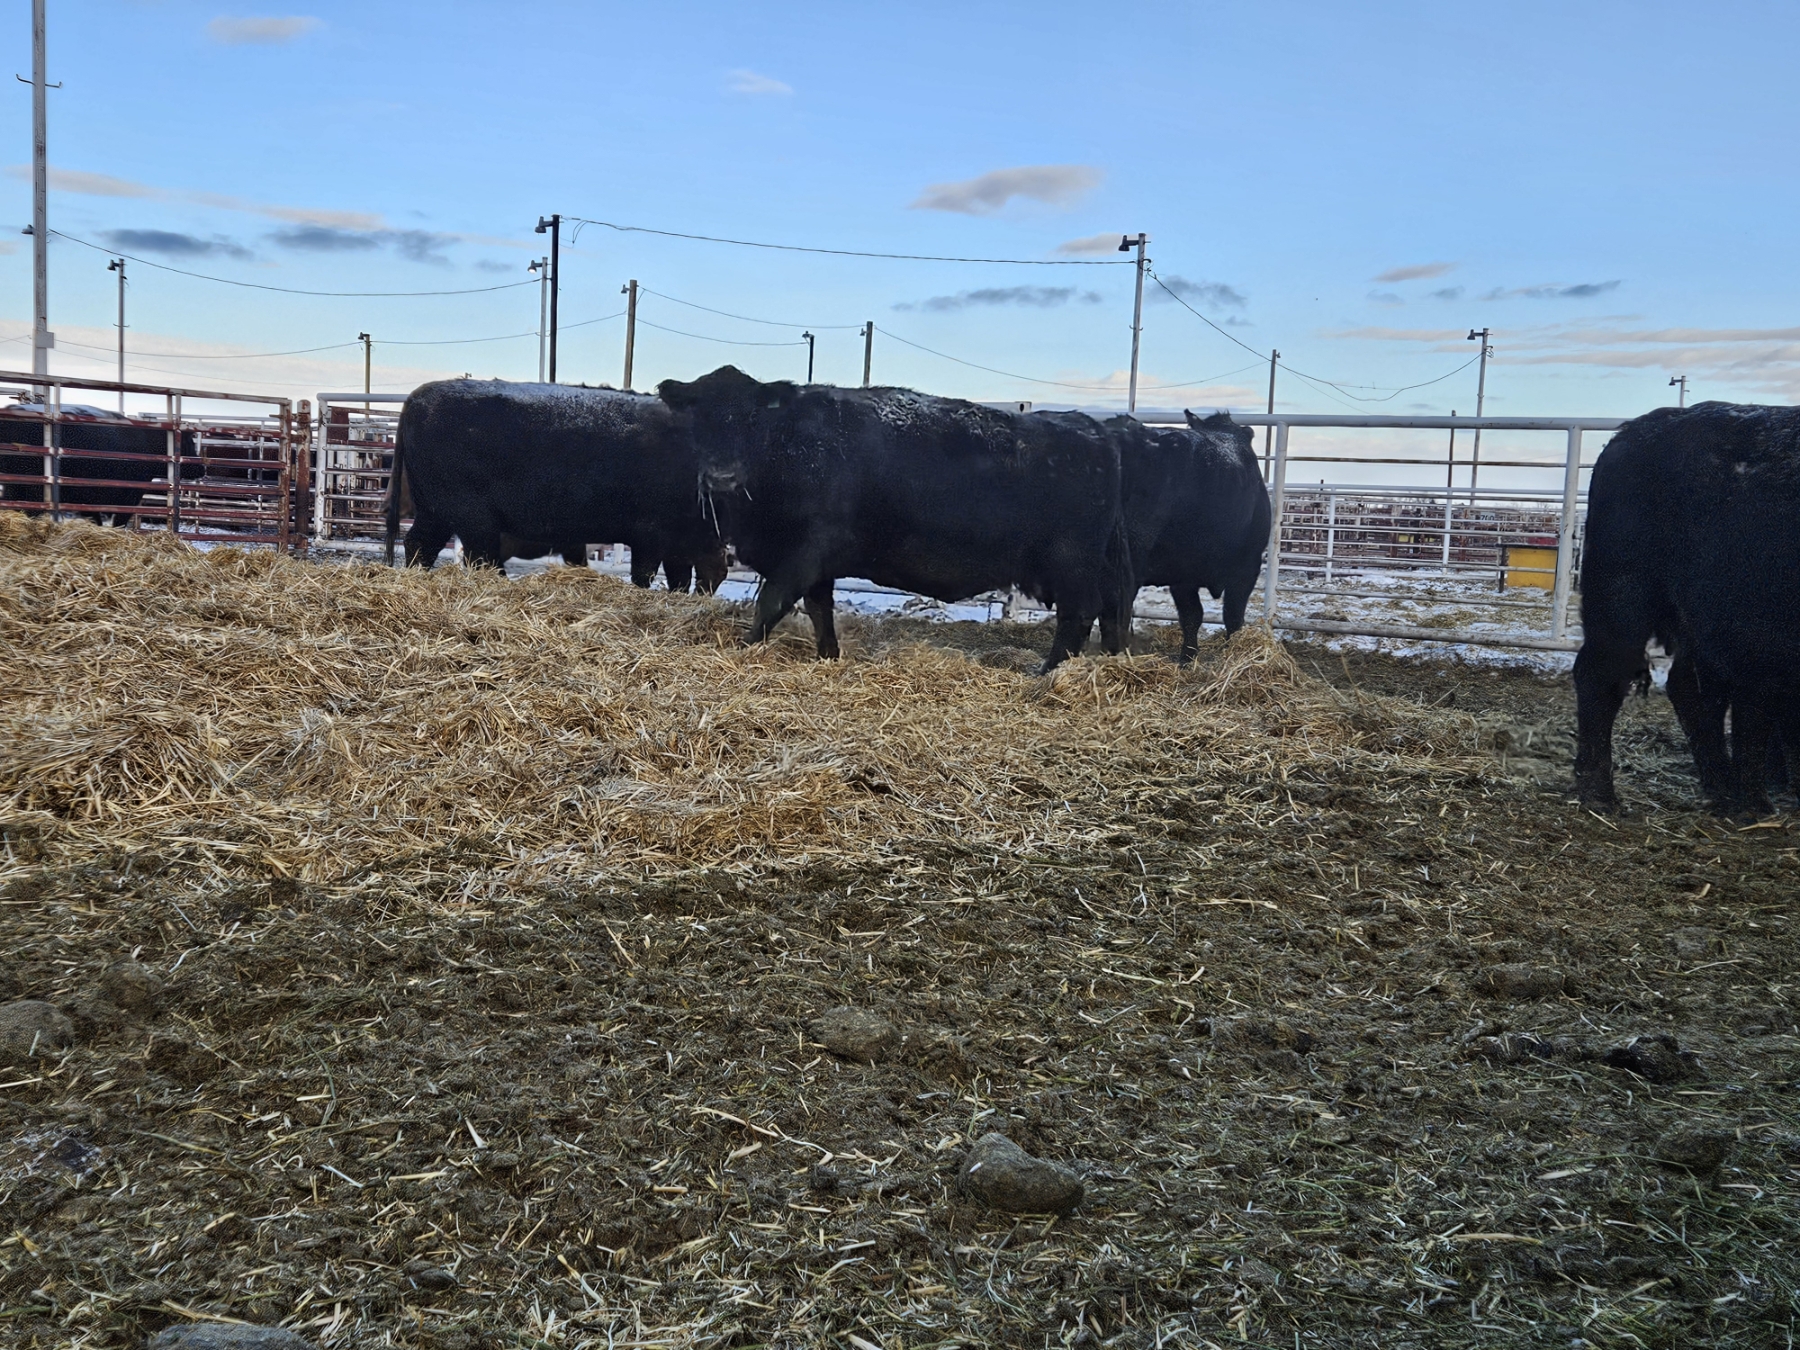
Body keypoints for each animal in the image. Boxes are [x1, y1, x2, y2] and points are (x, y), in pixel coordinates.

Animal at [382, 380, 726, 593]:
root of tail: (418, 397)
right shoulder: (650, 535)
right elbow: (647, 574)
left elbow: (678, 576)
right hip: (469, 516)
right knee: (480, 558)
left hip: (437, 512)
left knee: (419, 545)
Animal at [657, 366, 1127, 672]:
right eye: (697, 415)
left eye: (753, 417)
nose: (722, 476)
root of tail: (1092, 431)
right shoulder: (816, 564)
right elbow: (819, 608)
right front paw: (828, 656)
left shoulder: (807, 551)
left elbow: (771, 602)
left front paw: (743, 649)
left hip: (1070, 563)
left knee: (1079, 614)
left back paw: (1047, 673)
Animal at [1573, 401, 1800, 816]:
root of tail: (1639, 428)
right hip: (1624, 595)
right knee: (1601, 675)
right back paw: (1599, 792)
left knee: (1688, 688)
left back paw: (1723, 786)